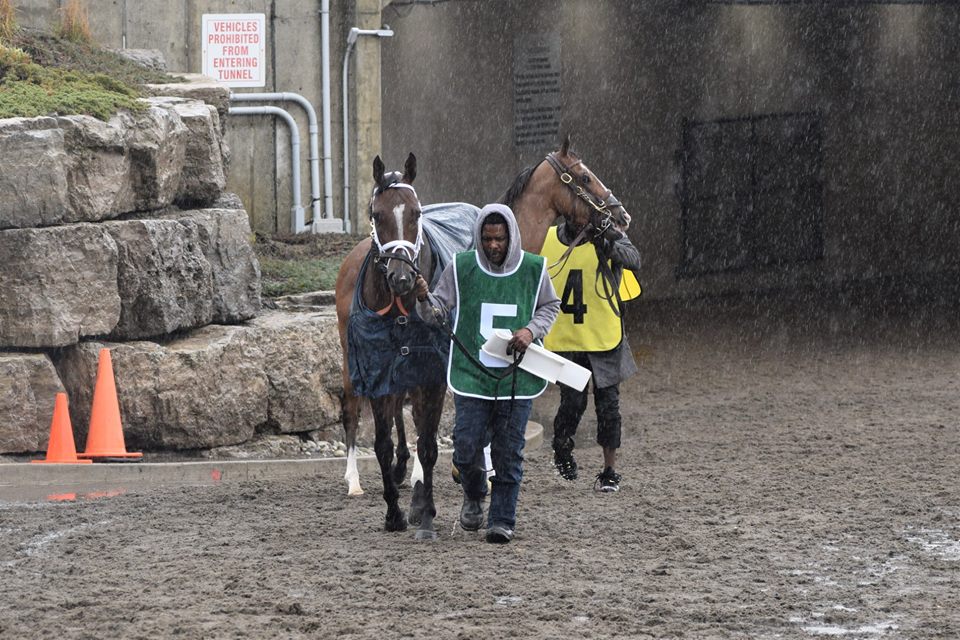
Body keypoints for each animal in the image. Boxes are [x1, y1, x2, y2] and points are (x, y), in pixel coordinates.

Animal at [335, 136, 630, 538]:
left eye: (416, 213)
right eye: (585, 177)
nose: (620, 215)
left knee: (401, 414)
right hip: (353, 360)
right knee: (352, 410)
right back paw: (354, 479)